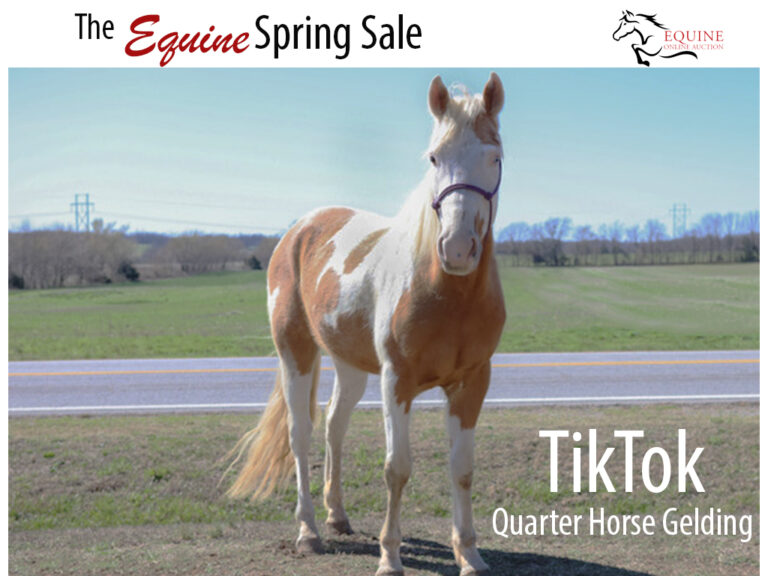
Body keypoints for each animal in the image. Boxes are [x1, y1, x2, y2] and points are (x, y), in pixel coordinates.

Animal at [226, 73, 506, 576]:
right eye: (434, 157)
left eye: (494, 157)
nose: (456, 249)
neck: (446, 294)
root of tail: (301, 228)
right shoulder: (397, 381)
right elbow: (397, 468)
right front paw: (389, 556)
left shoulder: (472, 382)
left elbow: (462, 468)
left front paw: (470, 554)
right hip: (296, 354)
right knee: (301, 435)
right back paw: (309, 531)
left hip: (350, 365)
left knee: (334, 426)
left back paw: (336, 516)